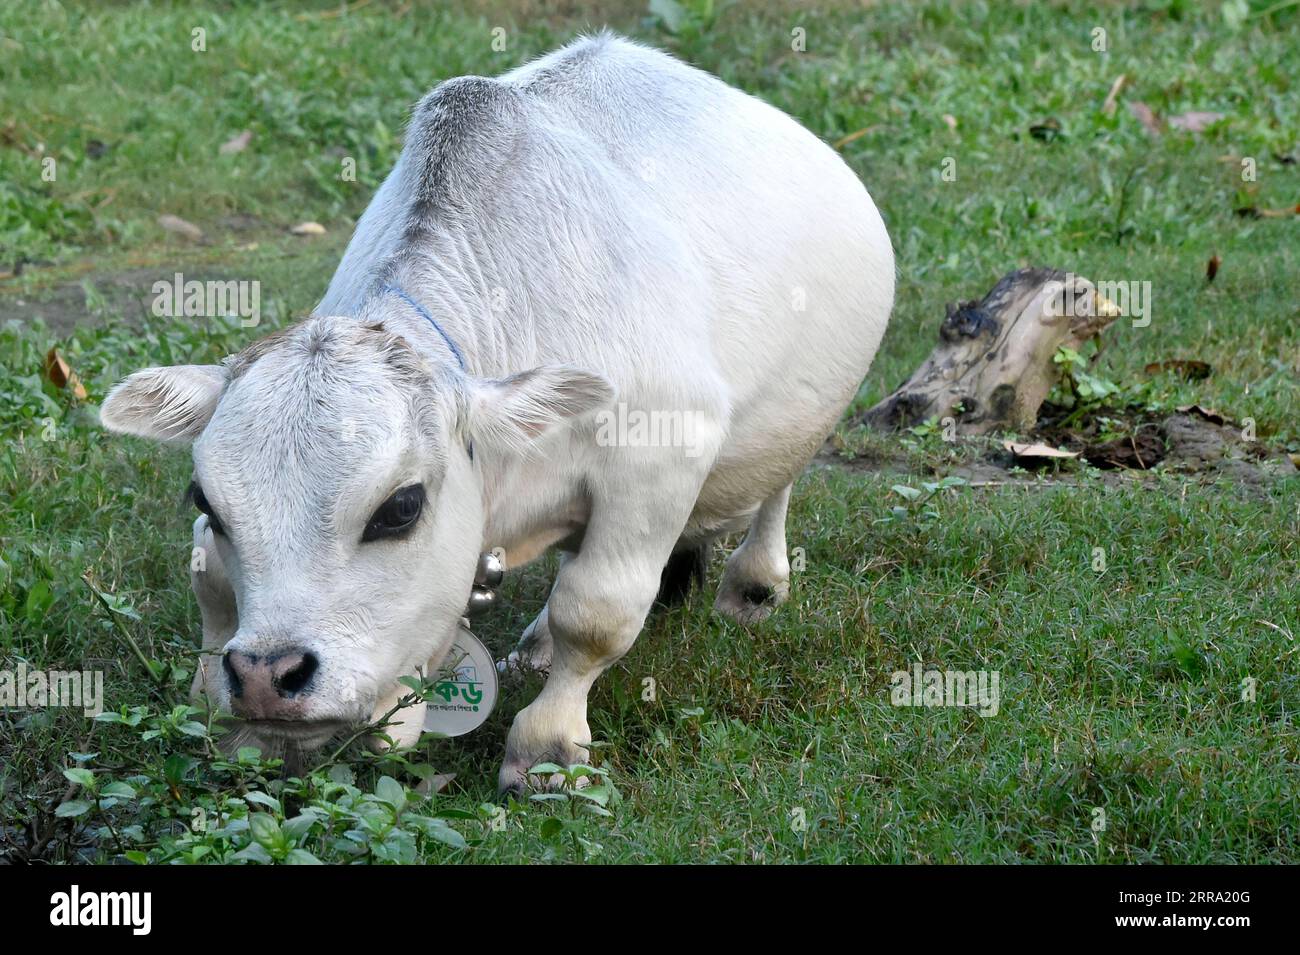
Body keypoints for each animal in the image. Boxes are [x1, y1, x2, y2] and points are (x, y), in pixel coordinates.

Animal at [99, 33, 894, 792]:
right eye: (207, 500)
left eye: (401, 507)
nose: (268, 675)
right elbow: (208, 580)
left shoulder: (659, 464)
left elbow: (596, 613)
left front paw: (547, 750)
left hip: (800, 420)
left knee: (776, 488)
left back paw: (753, 584)